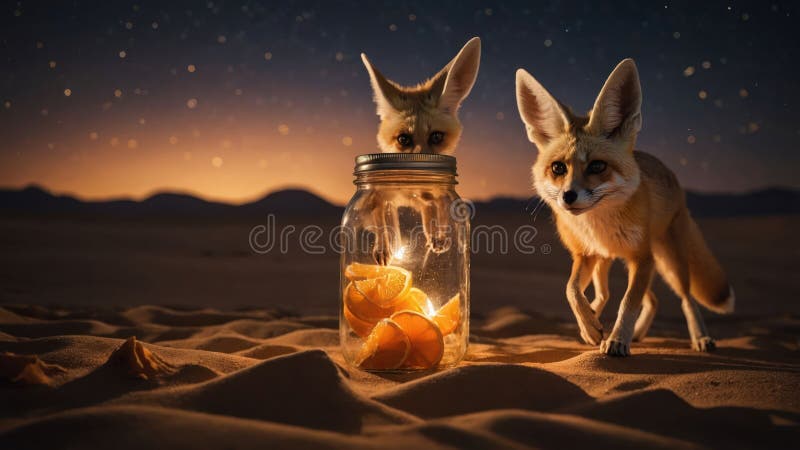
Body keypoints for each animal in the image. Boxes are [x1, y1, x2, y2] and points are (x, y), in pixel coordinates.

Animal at [360, 37, 481, 264]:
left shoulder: (435, 195)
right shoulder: (381, 194)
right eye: (403, 139)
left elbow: (437, 207)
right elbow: (382, 217)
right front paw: (386, 246)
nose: (426, 187)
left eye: (436, 136)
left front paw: (438, 234)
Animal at [515, 59, 734, 356]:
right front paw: (591, 327)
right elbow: (571, 290)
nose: (568, 197)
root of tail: (669, 172)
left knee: (685, 298)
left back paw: (700, 337)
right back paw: (613, 326)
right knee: (630, 296)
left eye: (597, 166)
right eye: (558, 168)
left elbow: (628, 302)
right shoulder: (586, 254)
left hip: (668, 262)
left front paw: (617, 340)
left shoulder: (641, 258)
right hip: (610, 261)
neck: (598, 225)